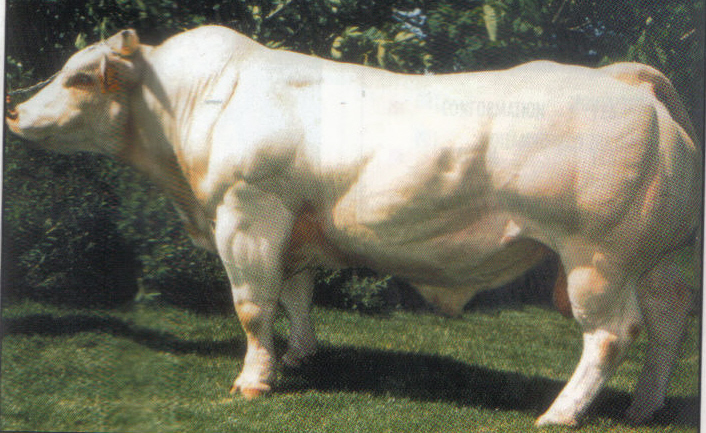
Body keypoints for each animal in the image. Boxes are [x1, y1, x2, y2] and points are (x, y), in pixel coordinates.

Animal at [6, 26, 700, 427]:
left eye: (79, 77)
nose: (13, 111)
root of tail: (625, 78)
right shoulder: (294, 229)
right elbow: (296, 293)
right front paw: (301, 355)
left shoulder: (247, 210)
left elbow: (253, 304)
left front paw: (254, 380)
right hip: (655, 256)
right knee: (669, 317)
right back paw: (644, 406)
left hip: (597, 257)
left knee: (611, 334)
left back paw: (560, 413)